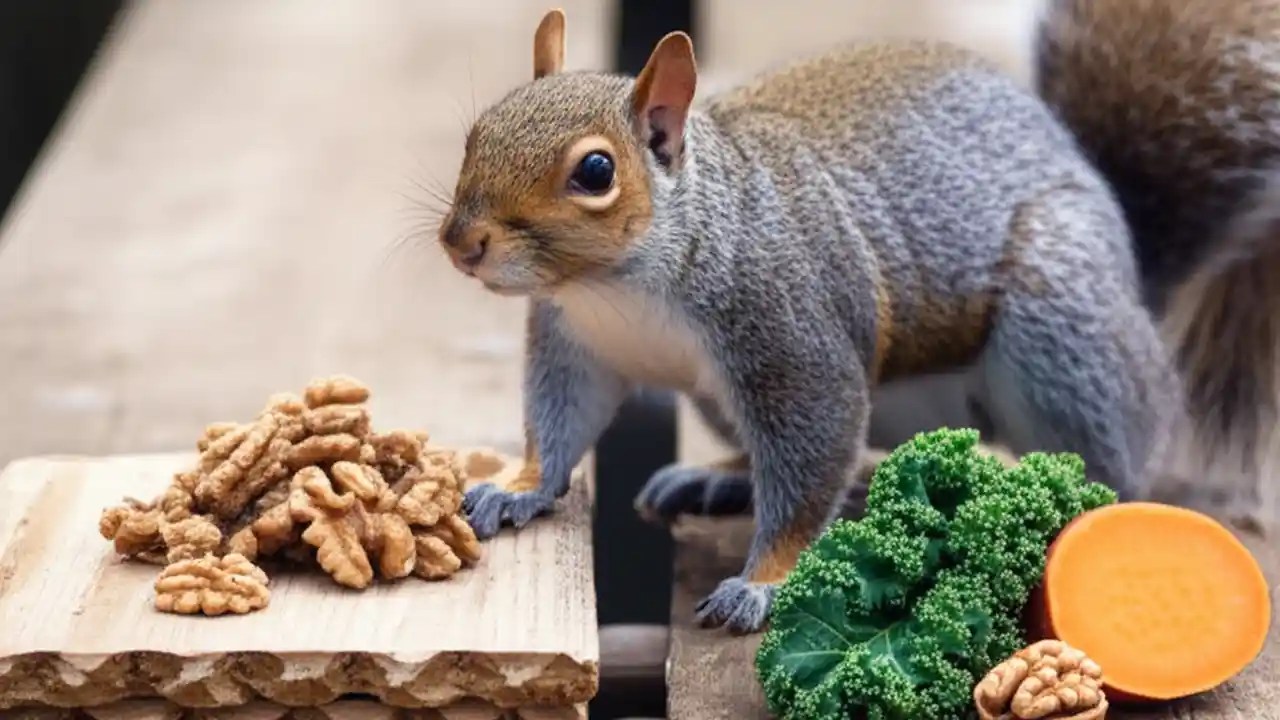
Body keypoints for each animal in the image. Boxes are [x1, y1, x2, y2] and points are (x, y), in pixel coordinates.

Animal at [439, 0, 1279, 634]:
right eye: (477, 133)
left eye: (595, 171)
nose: (461, 243)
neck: (618, 289)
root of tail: (1130, 264)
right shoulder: (576, 343)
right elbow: (560, 421)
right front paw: (520, 485)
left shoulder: (790, 337)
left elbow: (811, 458)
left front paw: (763, 582)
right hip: (722, 400)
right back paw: (718, 477)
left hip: (1061, 332)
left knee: (1110, 466)